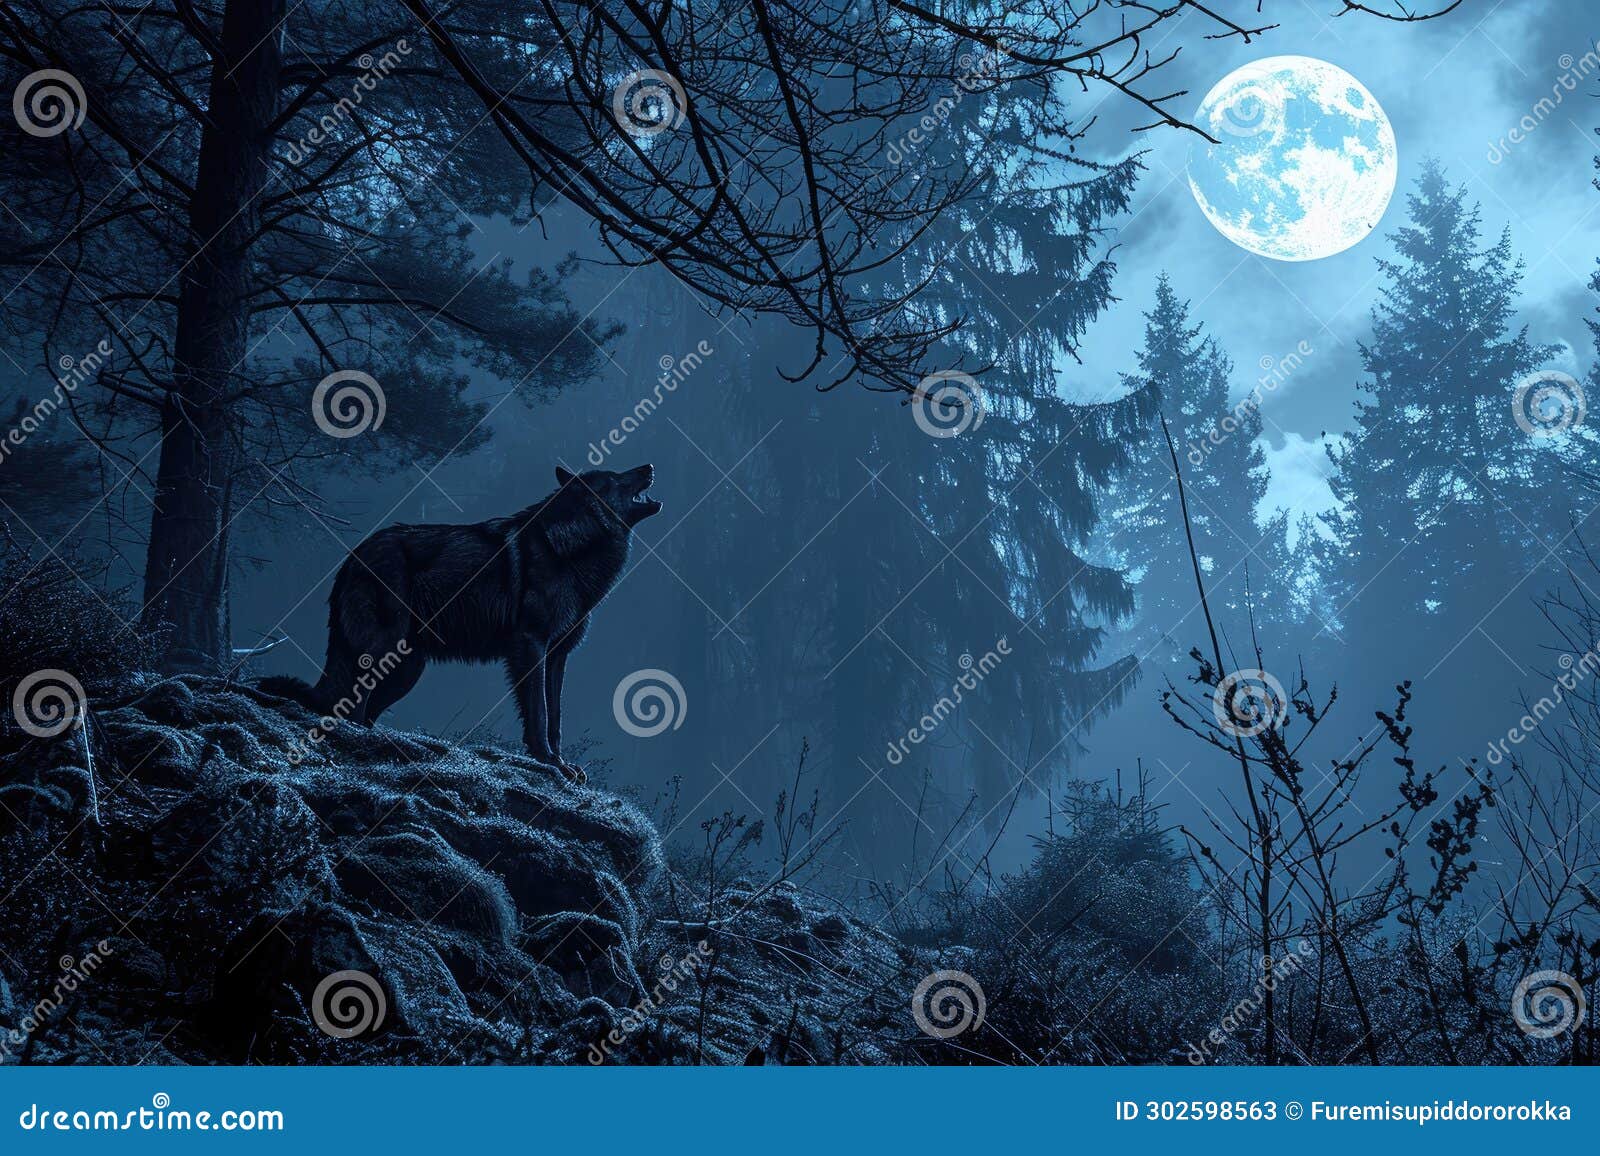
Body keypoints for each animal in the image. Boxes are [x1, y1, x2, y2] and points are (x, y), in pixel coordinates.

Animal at [260, 464, 661, 782]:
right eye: (617, 478)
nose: (650, 466)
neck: (569, 545)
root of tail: (352, 556)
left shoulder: (558, 654)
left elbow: (557, 717)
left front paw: (561, 763)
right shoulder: (531, 645)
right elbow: (539, 714)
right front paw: (547, 762)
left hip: (408, 669)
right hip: (384, 650)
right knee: (351, 705)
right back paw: (362, 742)